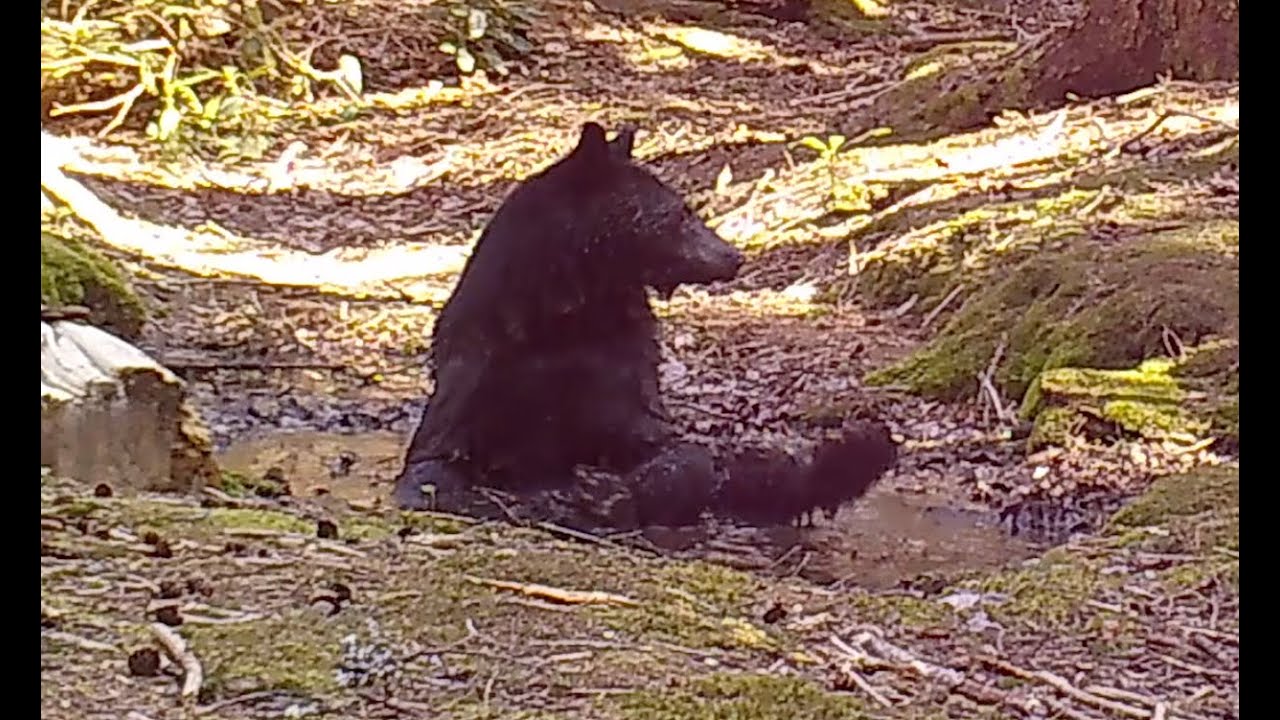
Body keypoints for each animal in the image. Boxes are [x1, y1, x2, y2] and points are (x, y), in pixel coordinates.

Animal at [394, 122, 744, 511]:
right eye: (681, 214)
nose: (734, 256)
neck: (564, 315)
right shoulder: (479, 375)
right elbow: (434, 458)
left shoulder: (620, 374)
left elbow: (665, 449)